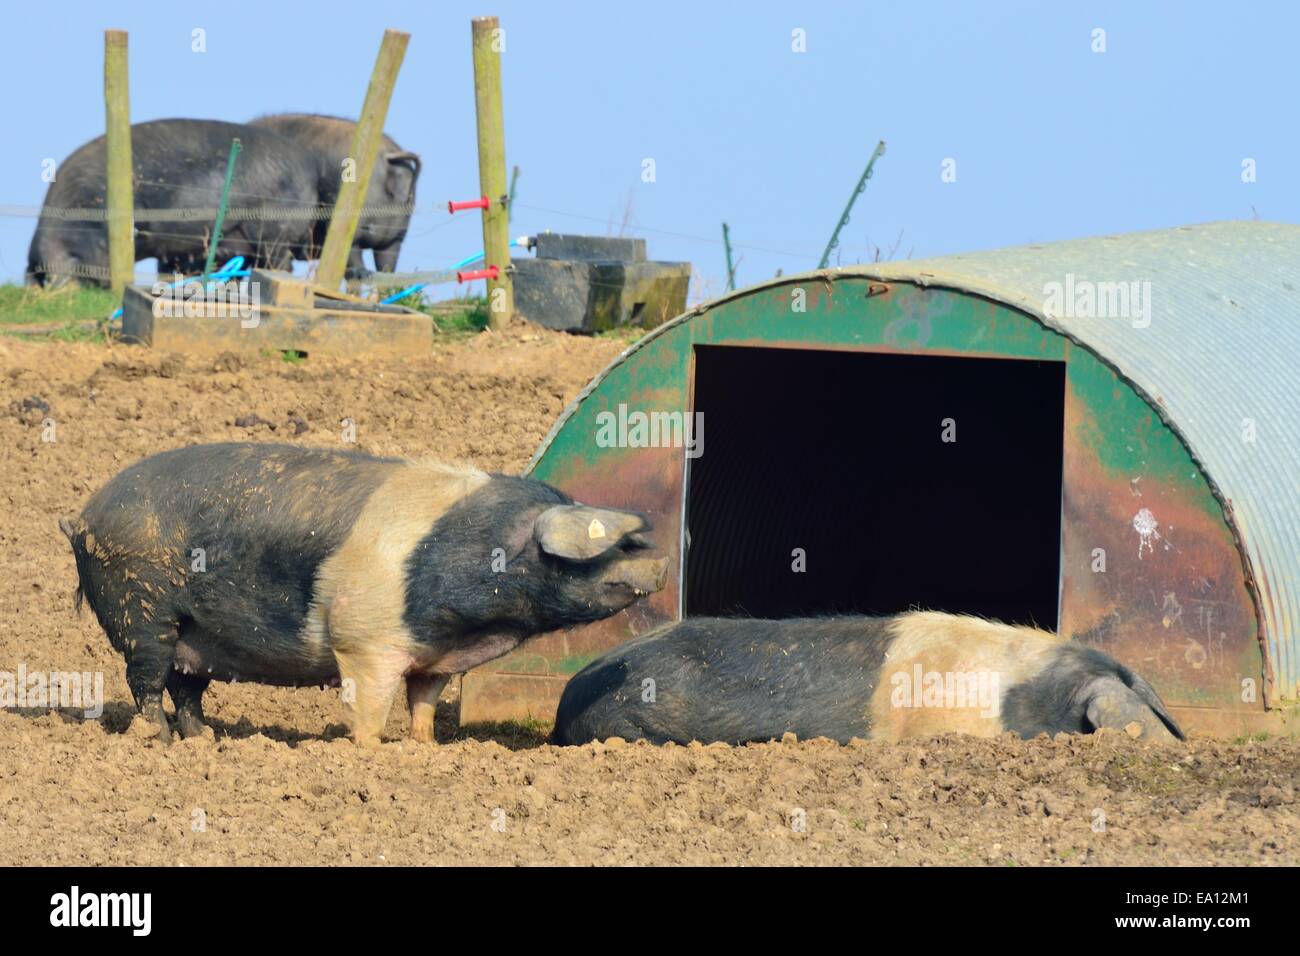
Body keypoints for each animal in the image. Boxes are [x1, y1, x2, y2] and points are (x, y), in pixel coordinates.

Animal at [59, 443, 667, 746]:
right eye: (613, 545)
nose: (661, 561)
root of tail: (83, 516)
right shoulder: (364, 642)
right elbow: (370, 709)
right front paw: (371, 754)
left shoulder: (434, 657)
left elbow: (423, 704)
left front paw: (424, 750)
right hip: (142, 609)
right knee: (146, 681)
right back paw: (161, 742)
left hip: (198, 635)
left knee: (187, 687)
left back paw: (205, 740)